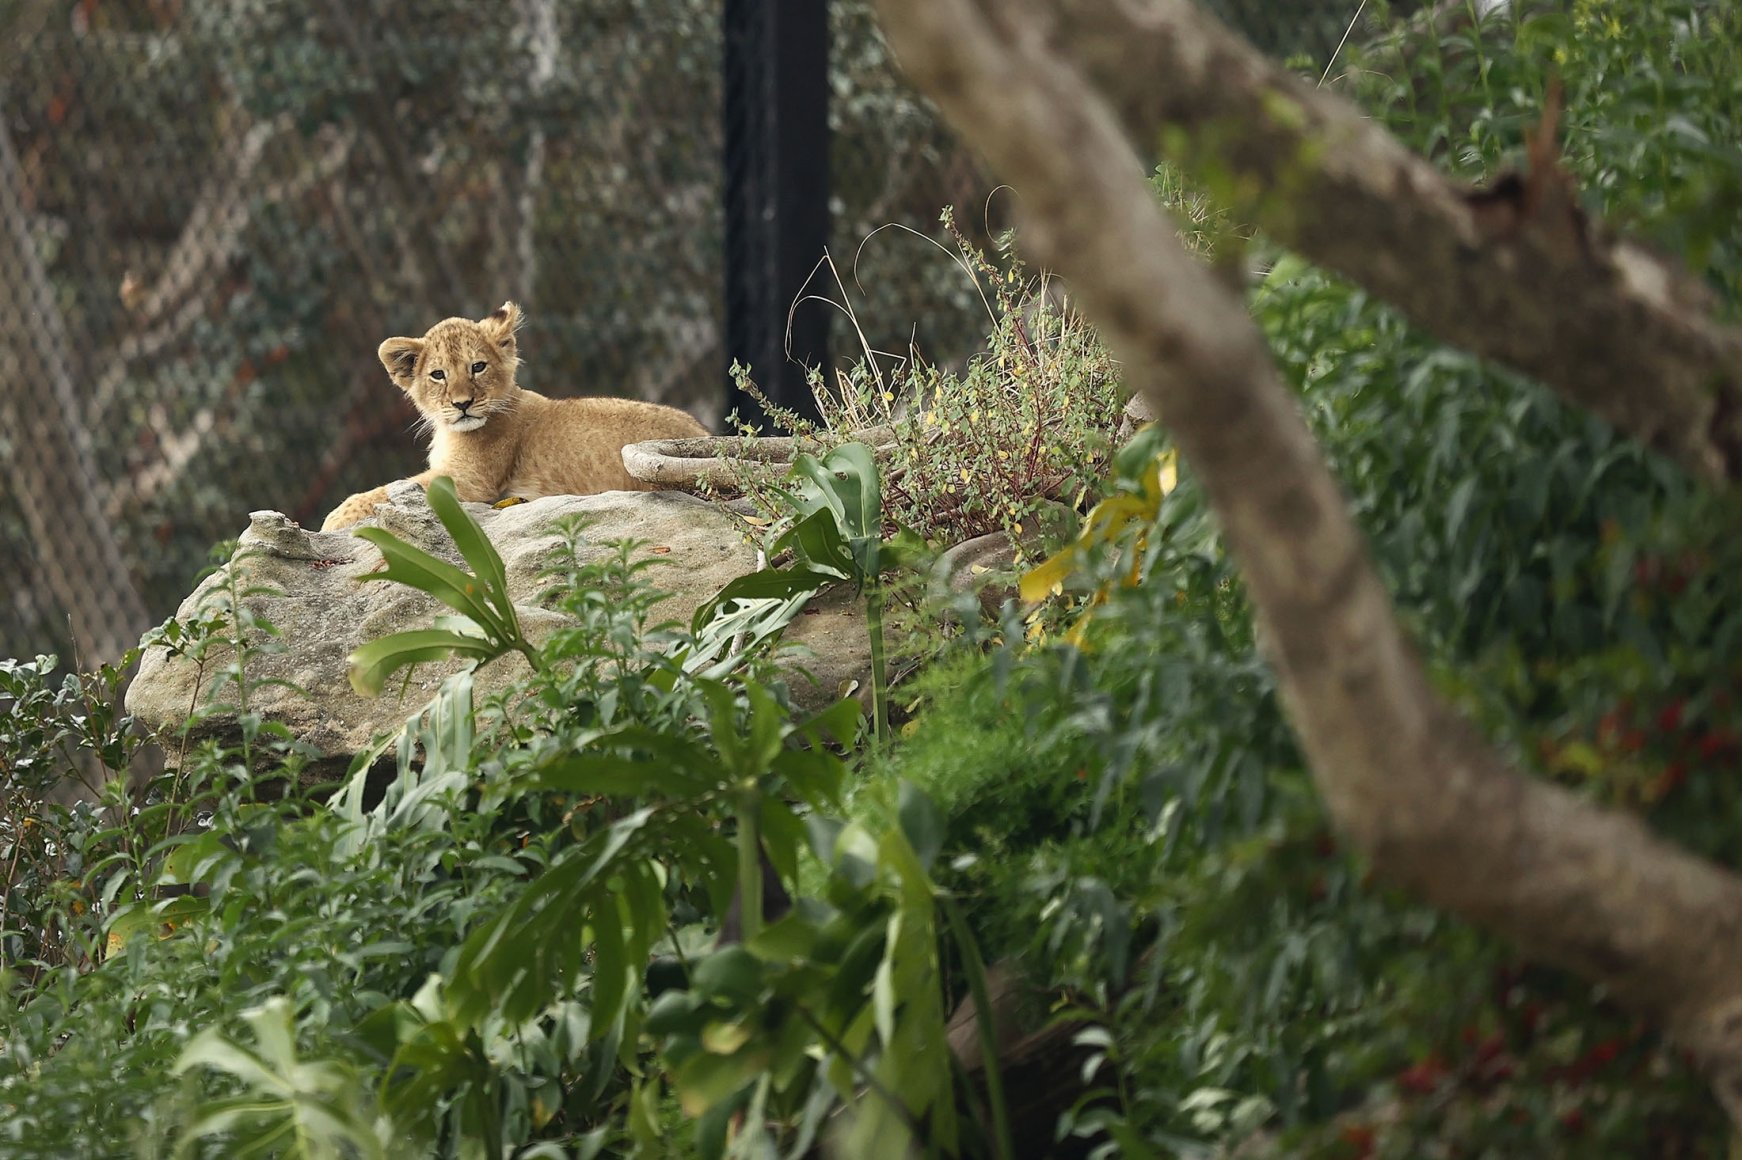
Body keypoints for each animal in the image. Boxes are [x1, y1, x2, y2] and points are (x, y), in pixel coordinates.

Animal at [320, 301, 708, 531]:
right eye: (438, 375)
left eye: (478, 367)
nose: (462, 404)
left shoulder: (470, 483)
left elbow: (384, 491)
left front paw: (333, 518)